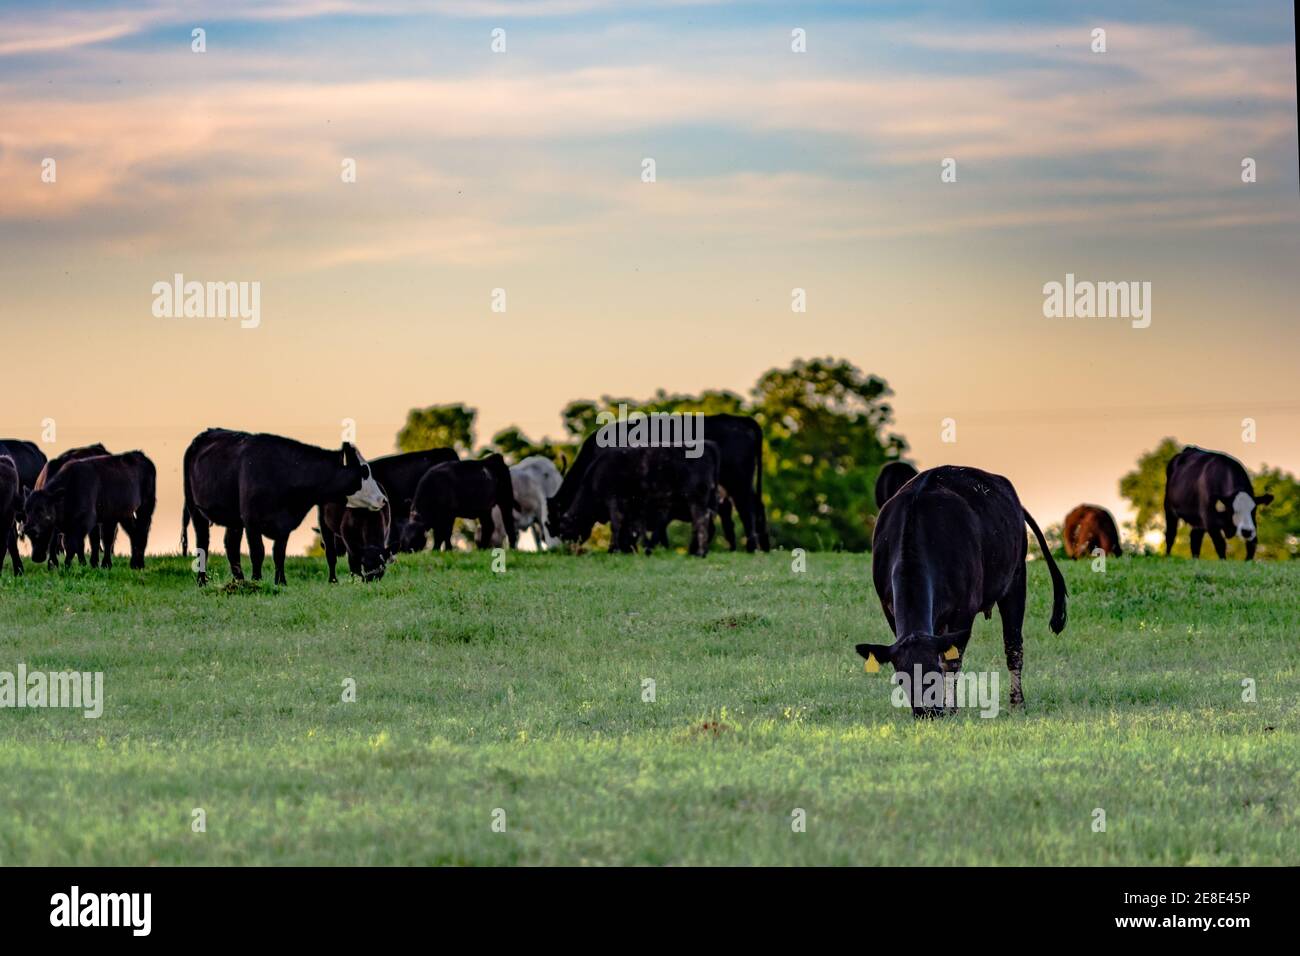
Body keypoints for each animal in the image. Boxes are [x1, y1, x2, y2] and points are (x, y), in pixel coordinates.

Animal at [21, 451, 156, 570]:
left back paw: (138, 564)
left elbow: (73, 545)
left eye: (42, 510)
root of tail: (139, 455)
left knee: (142, 530)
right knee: (131, 533)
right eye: (26, 510)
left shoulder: (83, 522)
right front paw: (87, 564)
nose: (37, 557)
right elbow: (78, 543)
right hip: (123, 513)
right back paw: (127, 564)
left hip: (146, 505)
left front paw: (67, 567)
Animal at [181, 429, 385, 585]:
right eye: (364, 472)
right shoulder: (251, 521)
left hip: (234, 520)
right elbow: (258, 553)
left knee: (231, 546)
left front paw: (281, 582)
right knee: (203, 544)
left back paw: (239, 581)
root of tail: (204, 434)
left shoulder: (284, 523)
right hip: (195, 509)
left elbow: (279, 554)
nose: (383, 499)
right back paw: (202, 581)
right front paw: (257, 581)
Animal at [548, 413, 769, 552]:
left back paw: (751, 547)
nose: (566, 543)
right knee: (752, 508)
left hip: (739, 482)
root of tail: (740, 420)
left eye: (553, 519)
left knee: (746, 510)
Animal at [855, 466, 1067, 717]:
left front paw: (952, 709)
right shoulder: (889, 608)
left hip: (1016, 579)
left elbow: (952, 662)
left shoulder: (964, 610)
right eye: (901, 679)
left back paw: (1017, 704)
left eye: (933, 673)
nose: (927, 713)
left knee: (1013, 646)